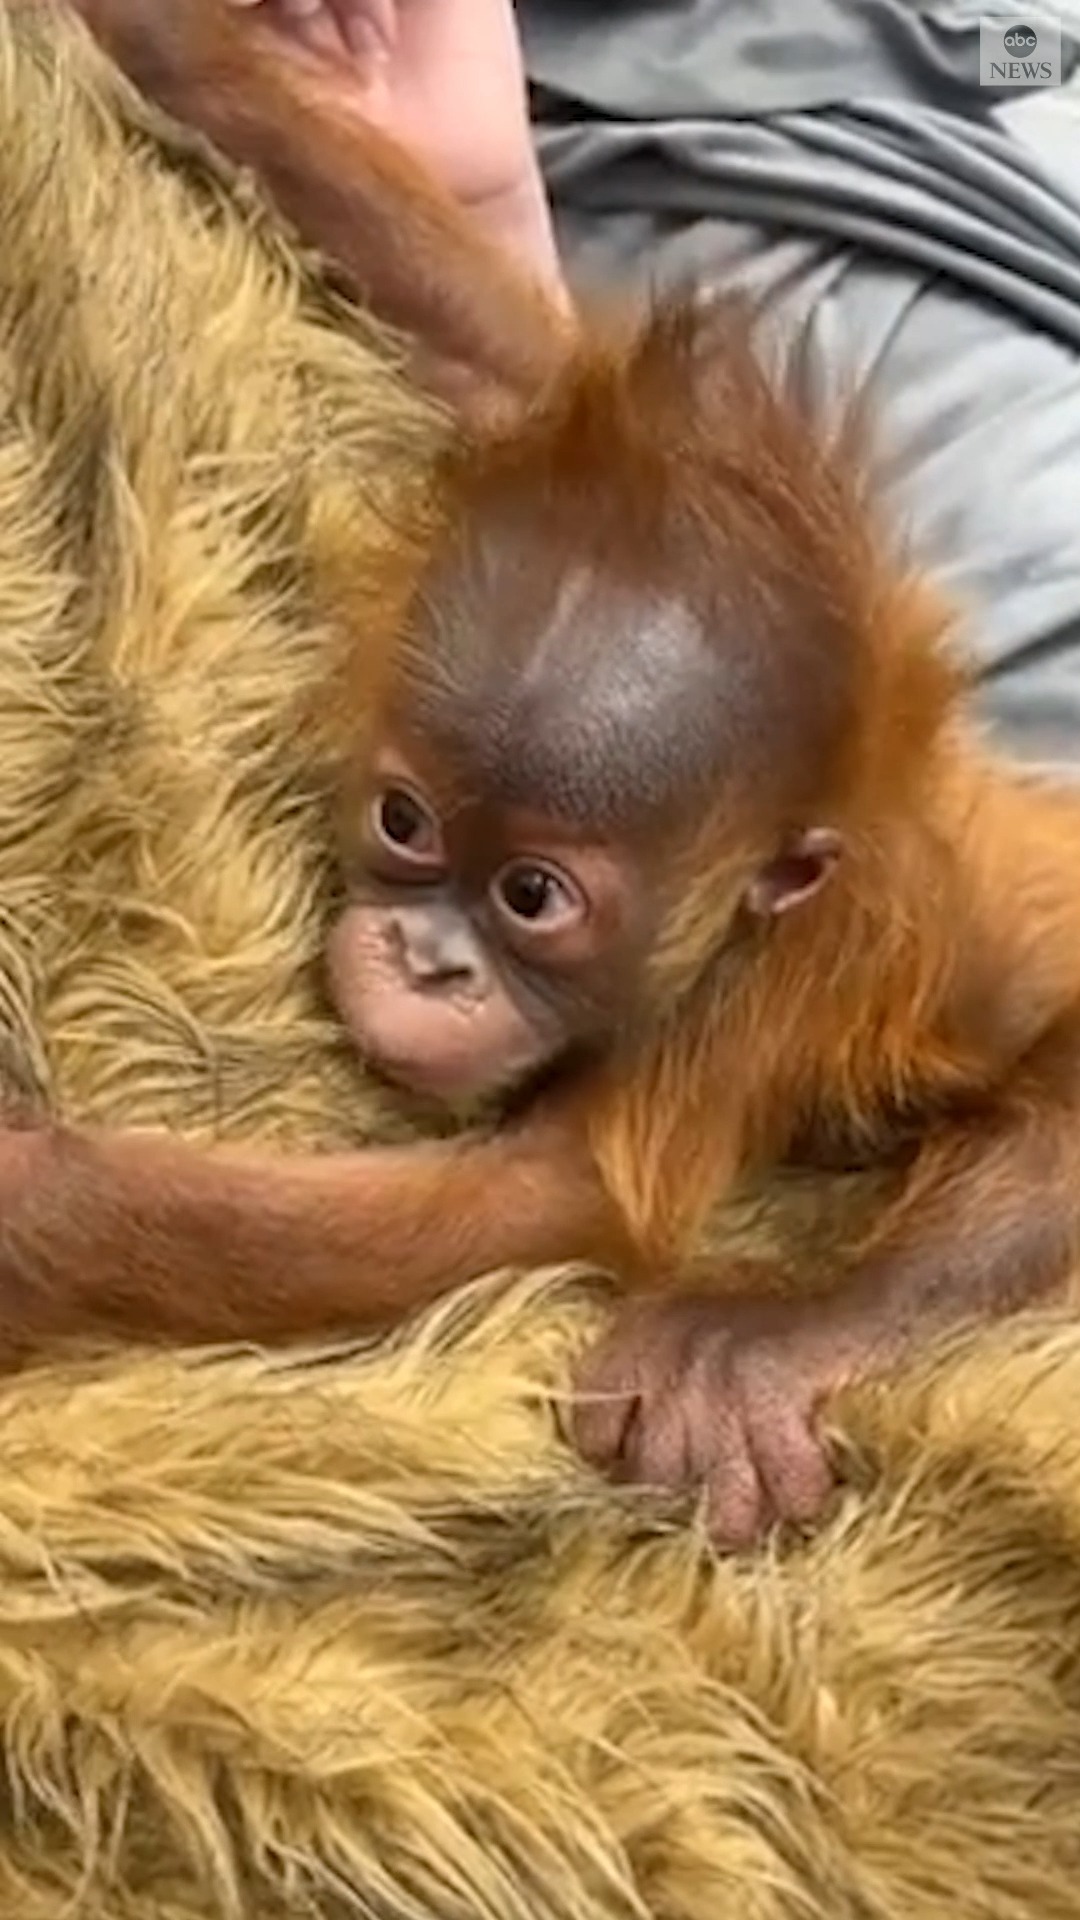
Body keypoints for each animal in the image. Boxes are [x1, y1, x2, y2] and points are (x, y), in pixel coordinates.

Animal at [8, 0, 1080, 1550]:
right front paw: (186, 49)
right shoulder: (595, 435)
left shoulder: (750, 998)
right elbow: (491, 332)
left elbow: (538, 1201)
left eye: (530, 896)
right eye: (404, 821)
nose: (425, 958)